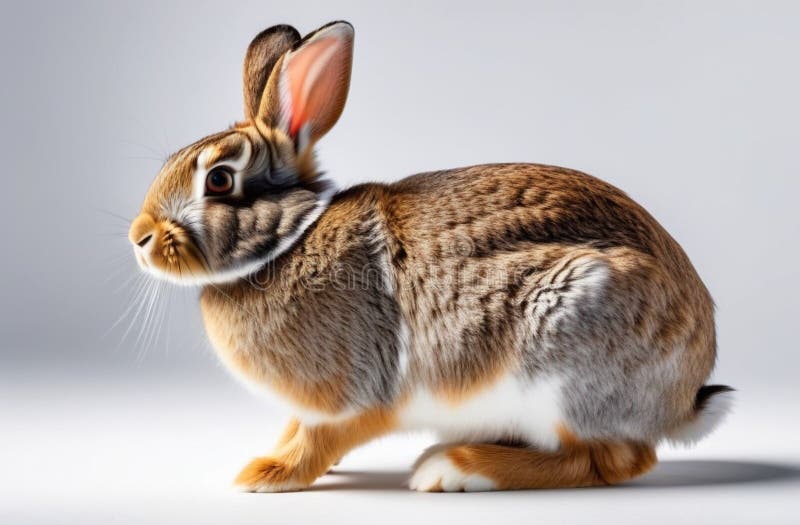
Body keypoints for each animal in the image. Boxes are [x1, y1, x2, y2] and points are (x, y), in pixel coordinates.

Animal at [128, 20, 733, 492]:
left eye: (219, 179)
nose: (139, 237)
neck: (290, 239)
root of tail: (682, 398)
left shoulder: (352, 398)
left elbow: (319, 440)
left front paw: (267, 474)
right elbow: (297, 429)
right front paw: (271, 458)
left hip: (565, 357)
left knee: (609, 461)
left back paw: (454, 468)